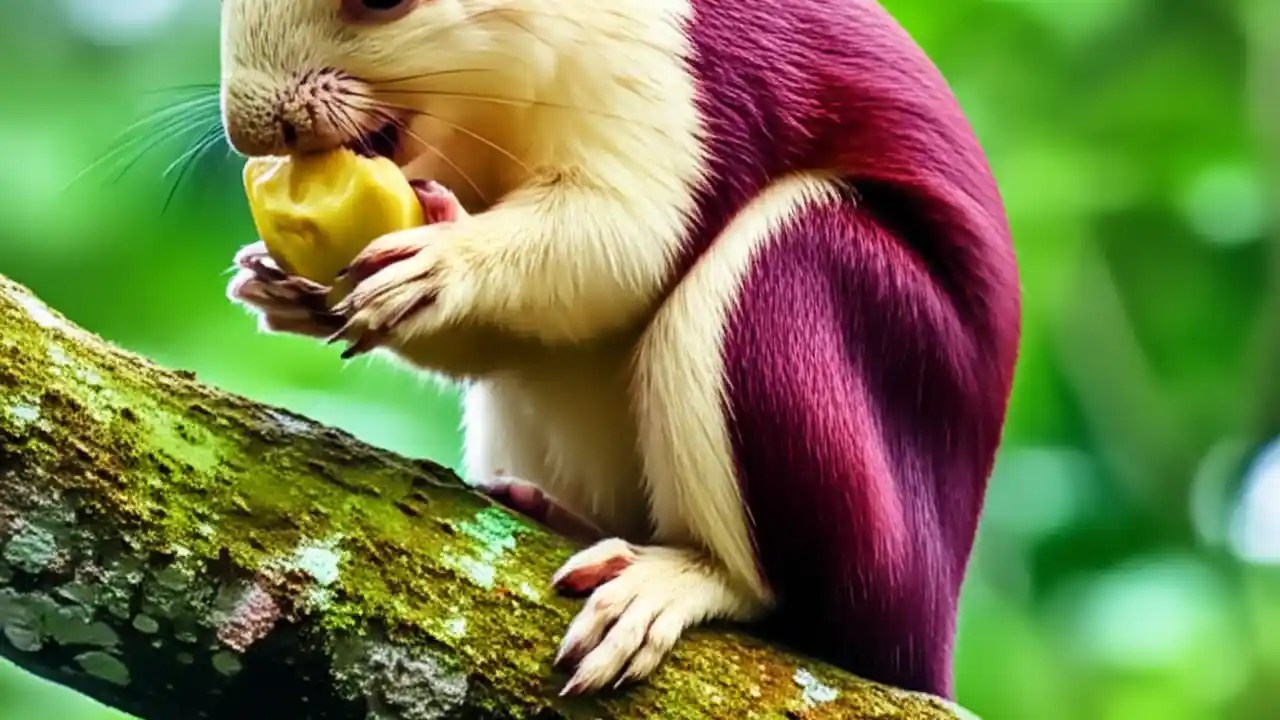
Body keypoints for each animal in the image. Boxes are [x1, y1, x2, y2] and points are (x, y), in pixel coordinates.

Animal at [222, 0, 1021, 701]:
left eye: (383, 1)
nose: (252, 130)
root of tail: (932, 634)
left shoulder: (664, 81)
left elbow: (623, 238)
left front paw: (446, 261)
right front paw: (288, 286)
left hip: (836, 336)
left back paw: (677, 580)